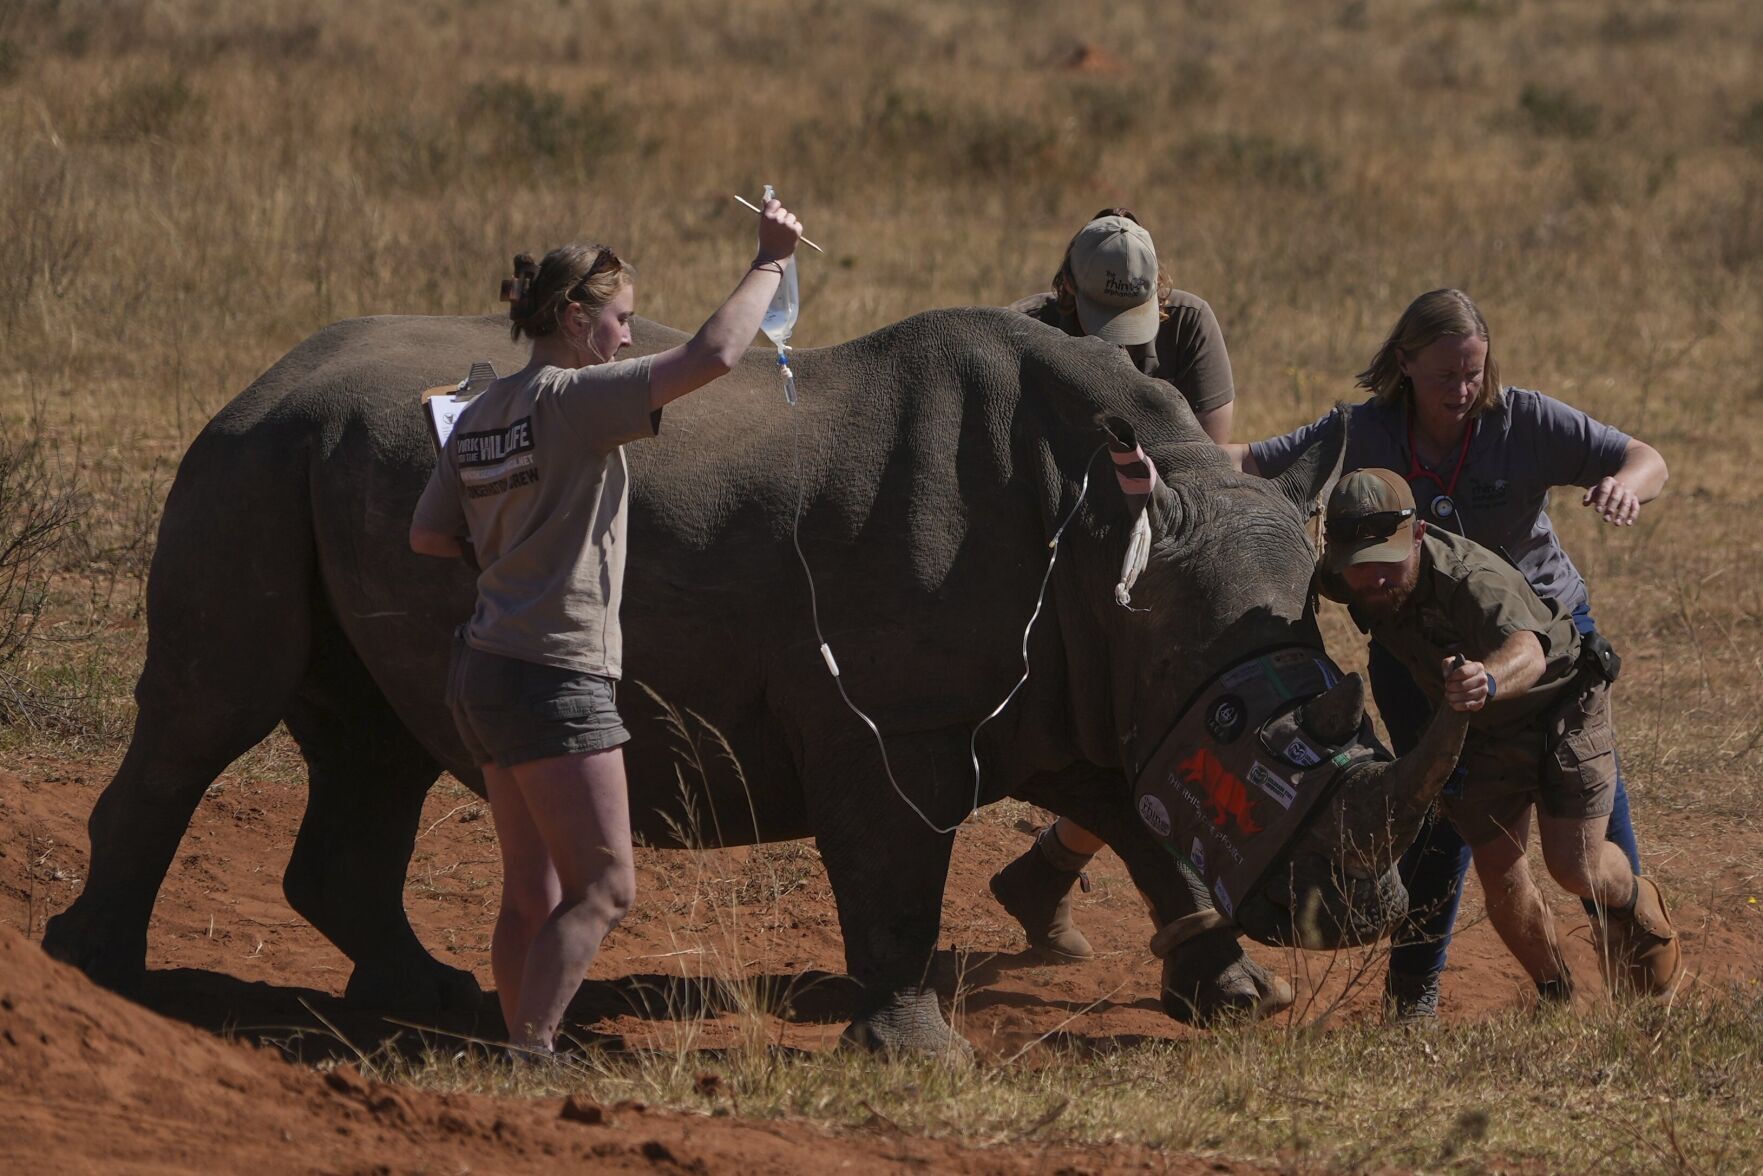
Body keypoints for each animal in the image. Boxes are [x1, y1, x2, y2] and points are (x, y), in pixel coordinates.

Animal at [44, 307, 1467, 1053]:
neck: (1117, 536)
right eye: (1244, 726)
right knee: (211, 709)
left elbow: (1152, 829)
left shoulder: (1103, 686)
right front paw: (916, 1056)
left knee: (376, 741)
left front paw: (1237, 999)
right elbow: (895, 868)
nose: (1356, 917)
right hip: (248, 458)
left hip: (322, 466)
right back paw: (101, 976)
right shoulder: (900, 720)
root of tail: (262, 373)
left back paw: (423, 1000)